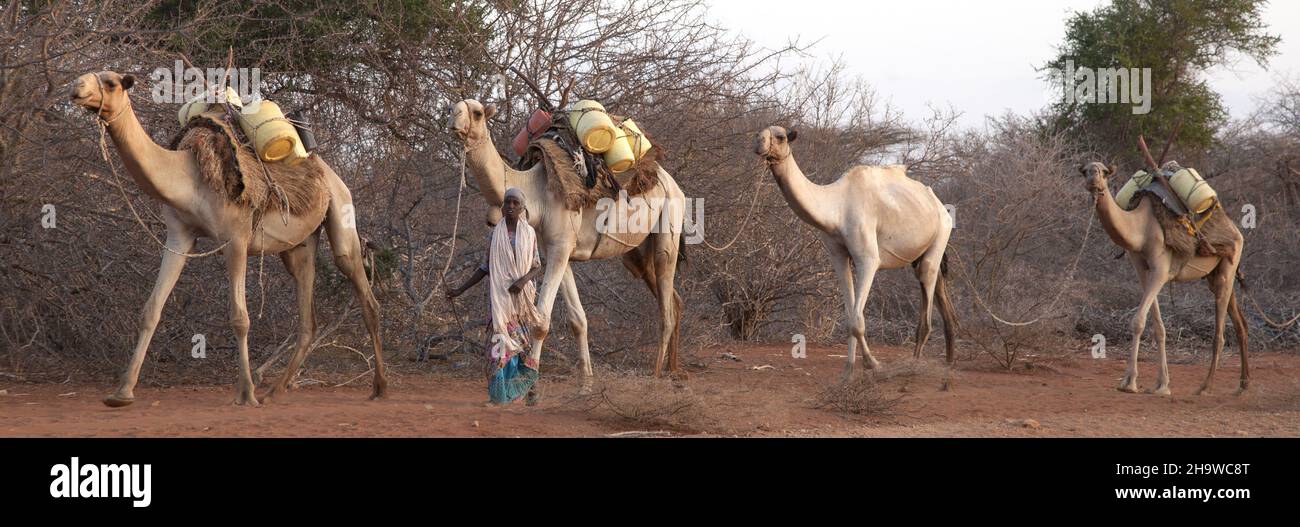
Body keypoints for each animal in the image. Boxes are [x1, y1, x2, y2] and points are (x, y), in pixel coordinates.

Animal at [71, 70, 386, 407]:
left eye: (111, 83)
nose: (77, 88)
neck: (186, 174)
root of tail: (326, 170)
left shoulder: (236, 239)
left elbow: (240, 318)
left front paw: (246, 393)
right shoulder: (179, 236)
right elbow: (151, 309)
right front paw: (121, 392)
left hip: (341, 211)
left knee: (363, 291)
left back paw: (379, 386)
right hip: (298, 245)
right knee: (307, 318)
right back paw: (275, 391)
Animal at [449, 99, 685, 388]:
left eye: (477, 113)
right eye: (453, 108)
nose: (454, 121)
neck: (535, 191)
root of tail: (672, 183)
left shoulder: (560, 248)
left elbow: (541, 321)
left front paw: (529, 375)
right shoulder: (556, 251)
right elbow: (577, 320)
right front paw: (586, 379)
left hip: (669, 223)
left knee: (666, 307)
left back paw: (656, 373)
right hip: (637, 254)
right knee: (672, 298)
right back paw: (674, 370)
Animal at [754, 126, 958, 381]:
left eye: (780, 137)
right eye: (758, 134)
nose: (759, 144)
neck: (836, 208)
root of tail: (941, 206)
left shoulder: (868, 259)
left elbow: (857, 321)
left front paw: (874, 365)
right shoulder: (838, 256)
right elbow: (850, 316)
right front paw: (848, 371)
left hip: (940, 236)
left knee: (926, 313)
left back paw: (913, 368)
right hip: (923, 255)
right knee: (942, 296)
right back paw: (948, 366)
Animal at [1080, 161, 1249, 395]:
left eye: (1104, 172)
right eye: (1085, 171)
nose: (1093, 178)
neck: (1140, 227)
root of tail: (1235, 228)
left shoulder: (1161, 270)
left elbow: (1137, 321)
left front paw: (1129, 383)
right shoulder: (1142, 269)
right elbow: (1158, 326)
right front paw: (1161, 384)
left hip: (1230, 262)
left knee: (1220, 334)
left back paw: (1205, 386)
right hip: (1216, 275)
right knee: (1241, 323)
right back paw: (1243, 385)